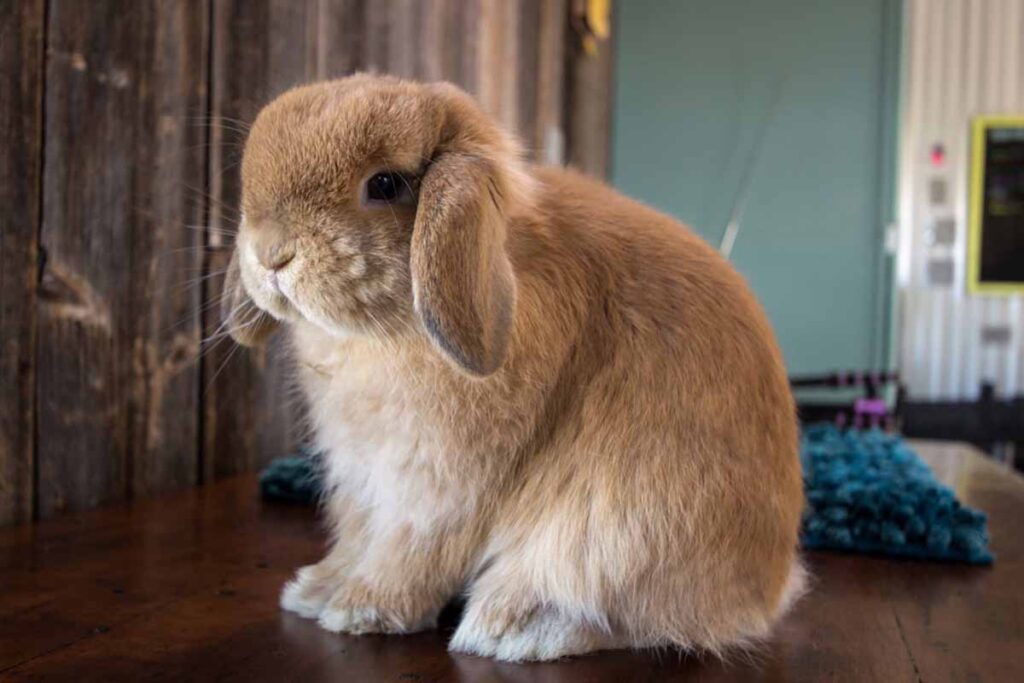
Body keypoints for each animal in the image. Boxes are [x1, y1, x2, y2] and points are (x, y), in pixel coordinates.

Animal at [223, 74, 806, 662]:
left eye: (384, 184)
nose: (270, 255)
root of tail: (771, 586)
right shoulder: (364, 479)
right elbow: (359, 537)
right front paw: (316, 589)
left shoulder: (440, 489)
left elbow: (411, 552)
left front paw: (362, 608)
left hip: (628, 527)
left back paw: (516, 626)